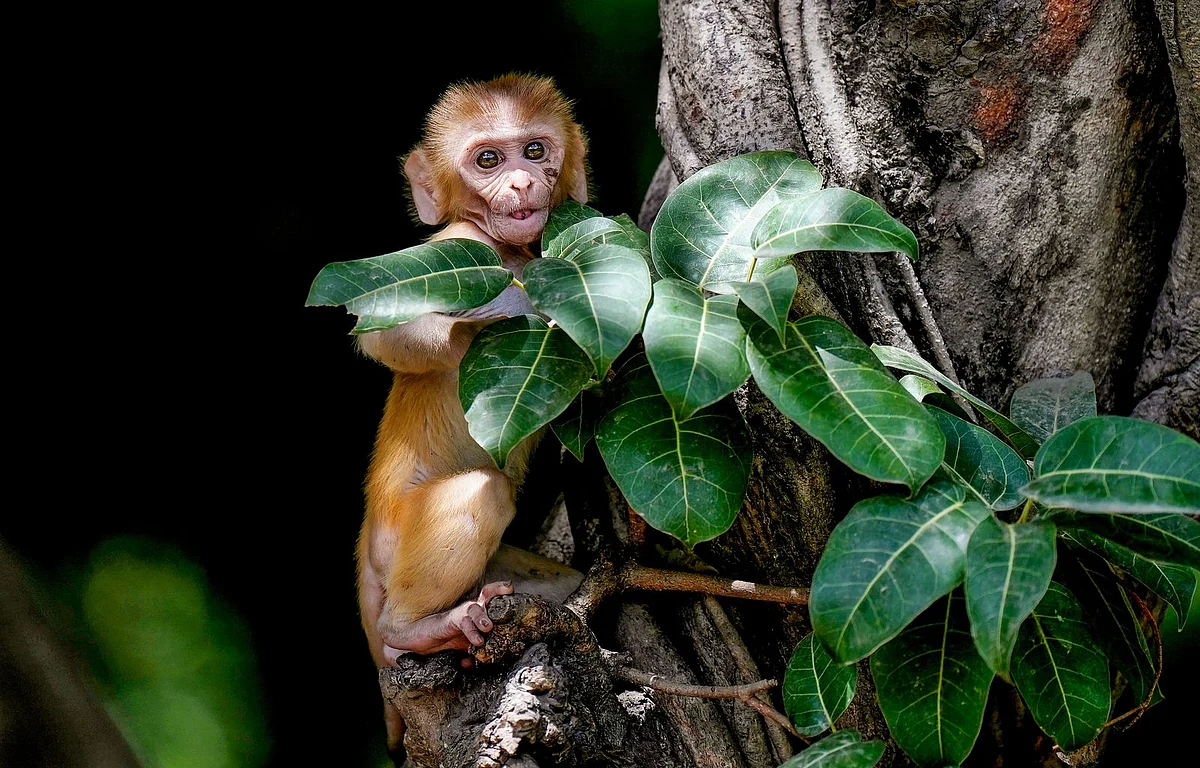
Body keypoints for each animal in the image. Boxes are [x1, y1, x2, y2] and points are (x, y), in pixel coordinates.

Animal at [354, 74, 589, 758]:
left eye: (534, 151)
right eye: (488, 160)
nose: (521, 182)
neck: (513, 252)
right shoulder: (457, 249)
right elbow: (385, 329)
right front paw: (498, 319)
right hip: (396, 542)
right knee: (483, 493)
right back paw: (414, 630)